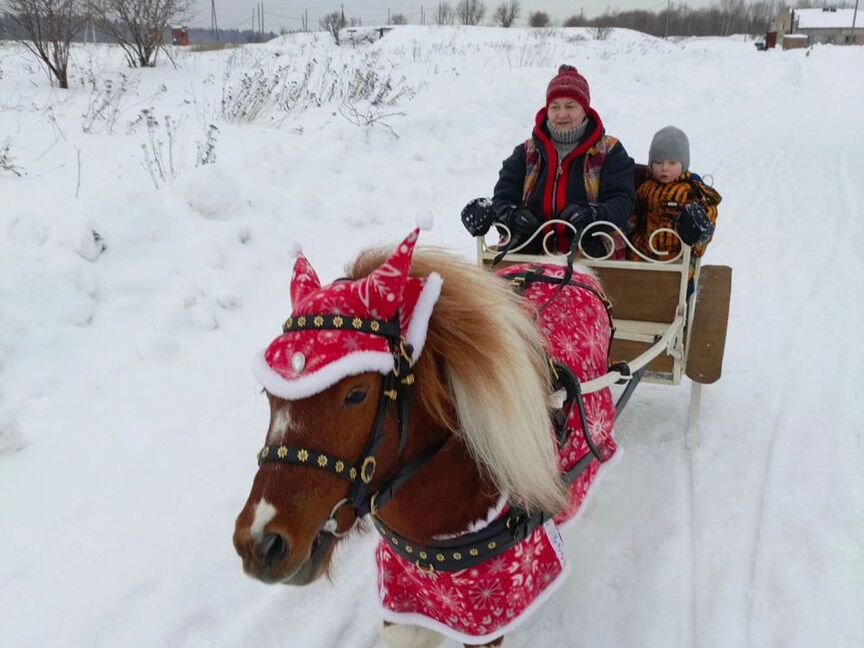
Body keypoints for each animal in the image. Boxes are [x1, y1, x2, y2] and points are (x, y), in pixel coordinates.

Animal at [233, 225, 616, 644]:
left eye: (356, 394)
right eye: (268, 393)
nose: (260, 543)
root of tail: (560, 265)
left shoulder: (492, 604)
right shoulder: (408, 592)